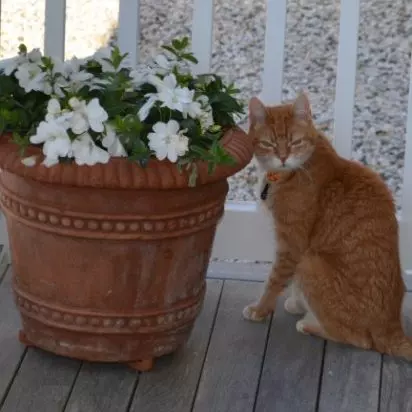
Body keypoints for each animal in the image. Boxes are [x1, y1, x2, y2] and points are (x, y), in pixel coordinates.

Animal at [243, 91, 412, 358]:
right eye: (269, 144)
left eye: (294, 142)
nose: (282, 157)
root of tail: (392, 328)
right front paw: (297, 302)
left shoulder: (292, 244)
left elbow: (275, 280)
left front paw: (260, 309)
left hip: (310, 260)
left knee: (360, 339)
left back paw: (310, 325)